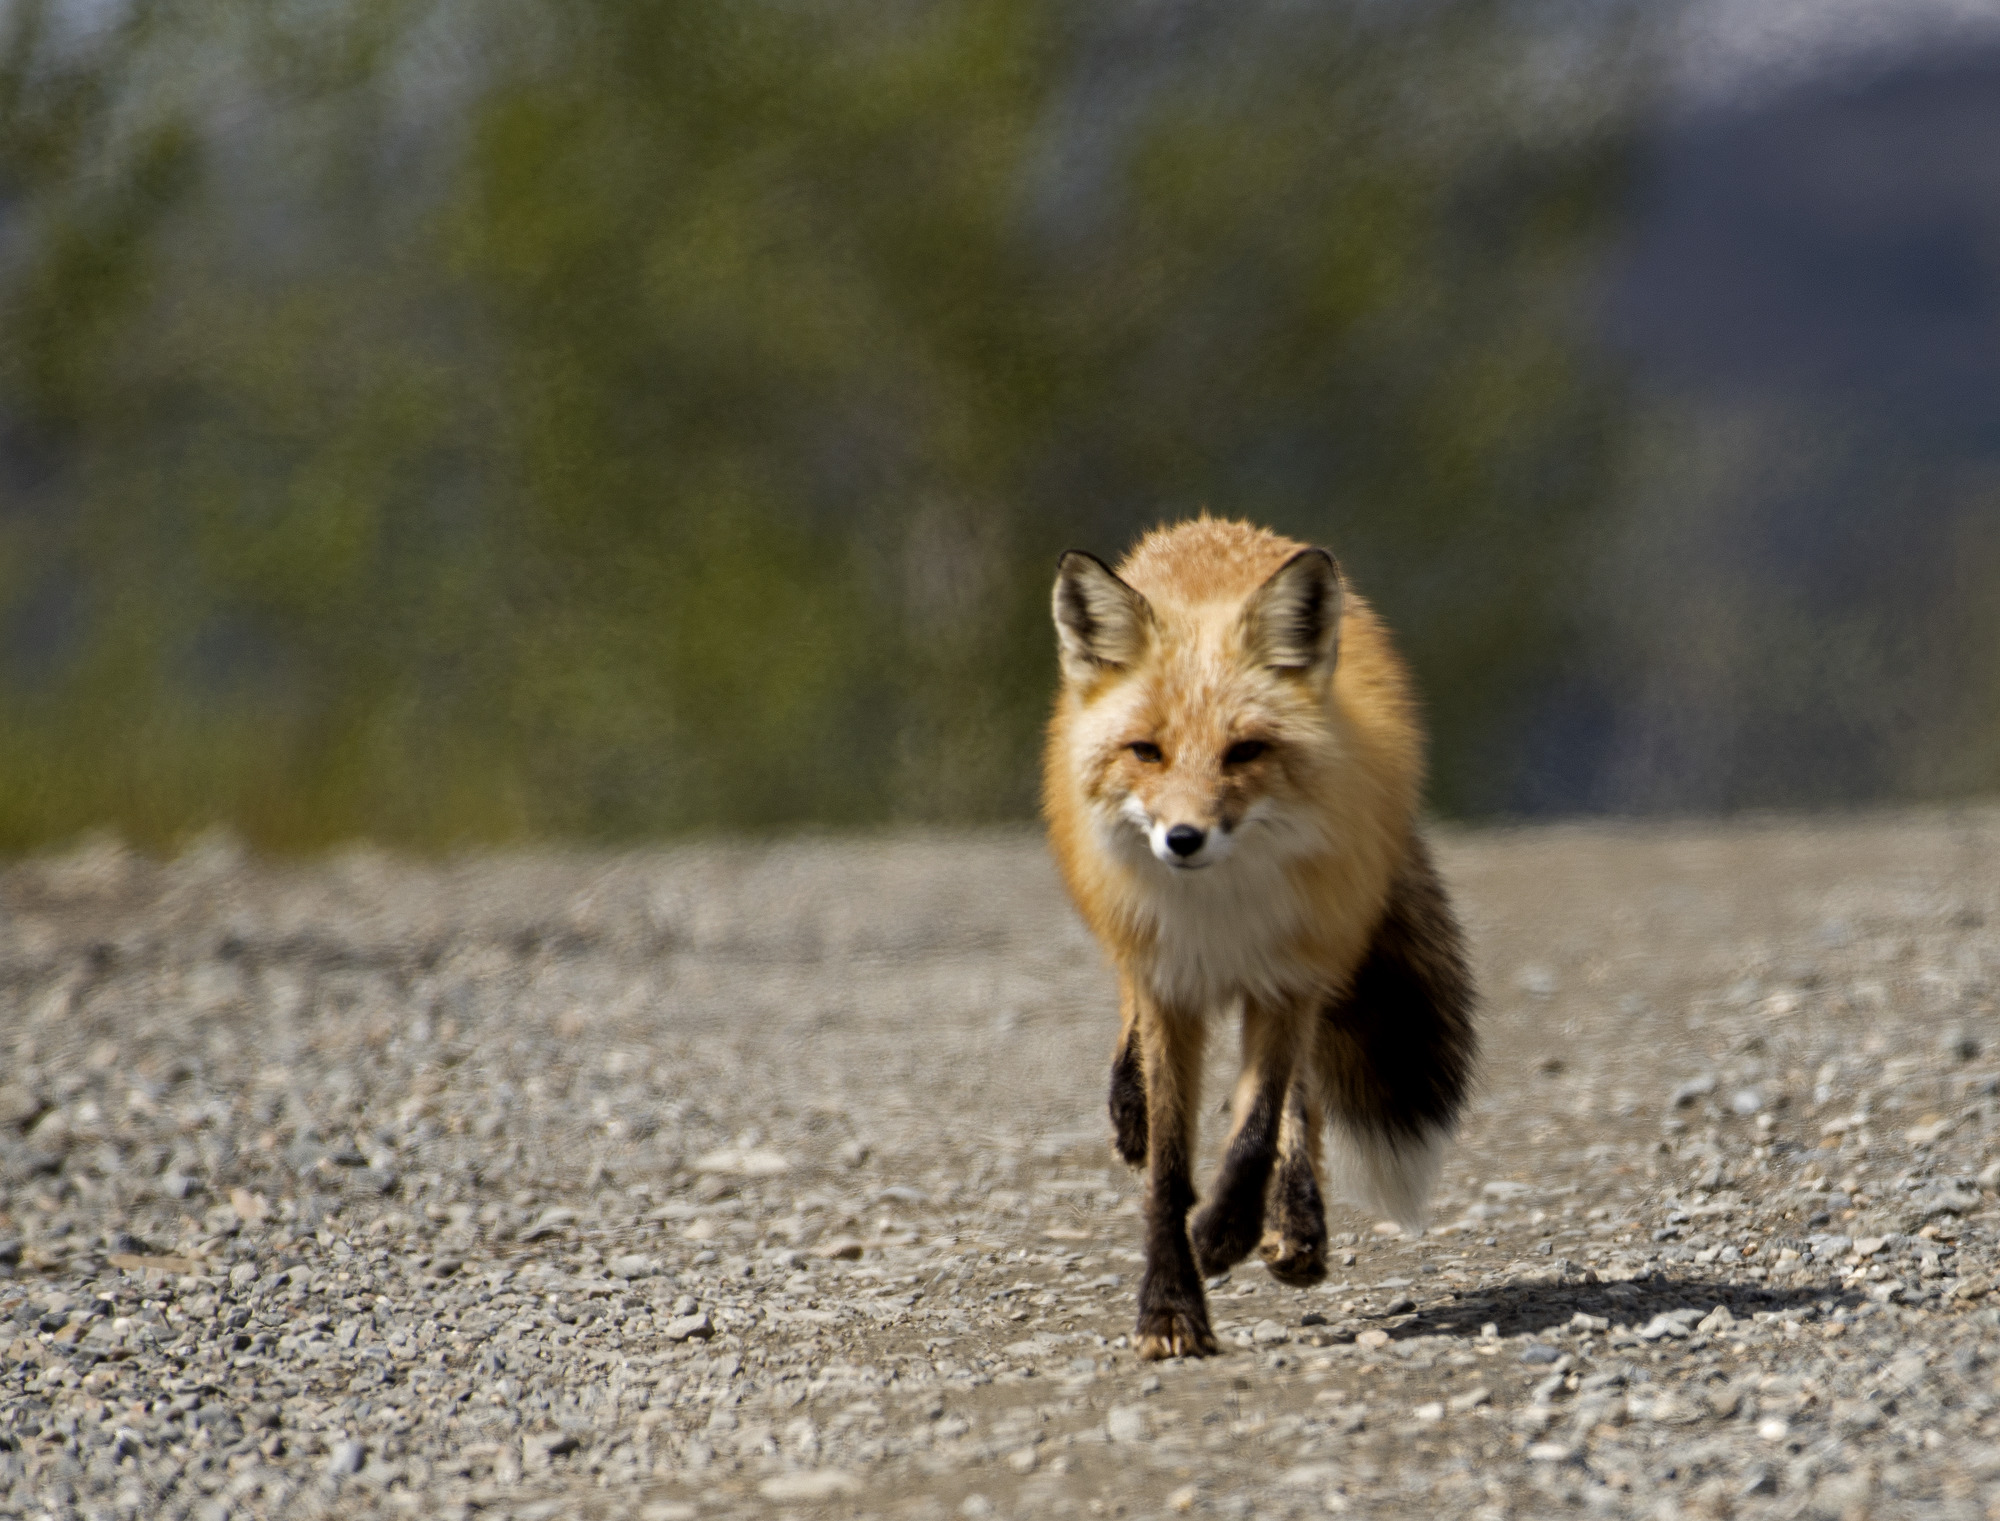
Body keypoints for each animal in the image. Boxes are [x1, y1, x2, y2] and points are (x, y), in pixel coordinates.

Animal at [1042, 517, 1477, 1360]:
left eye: (1243, 751)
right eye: (1146, 750)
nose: (1182, 838)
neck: (1220, 911)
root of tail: (1213, 526)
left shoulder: (1287, 976)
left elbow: (1254, 1131)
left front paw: (1225, 1233)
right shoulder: (1170, 983)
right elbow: (1168, 1167)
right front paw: (1170, 1306)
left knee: (1298, 1101)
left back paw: (1295, 1224)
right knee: (1134, 1031)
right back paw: (1129, 1104)